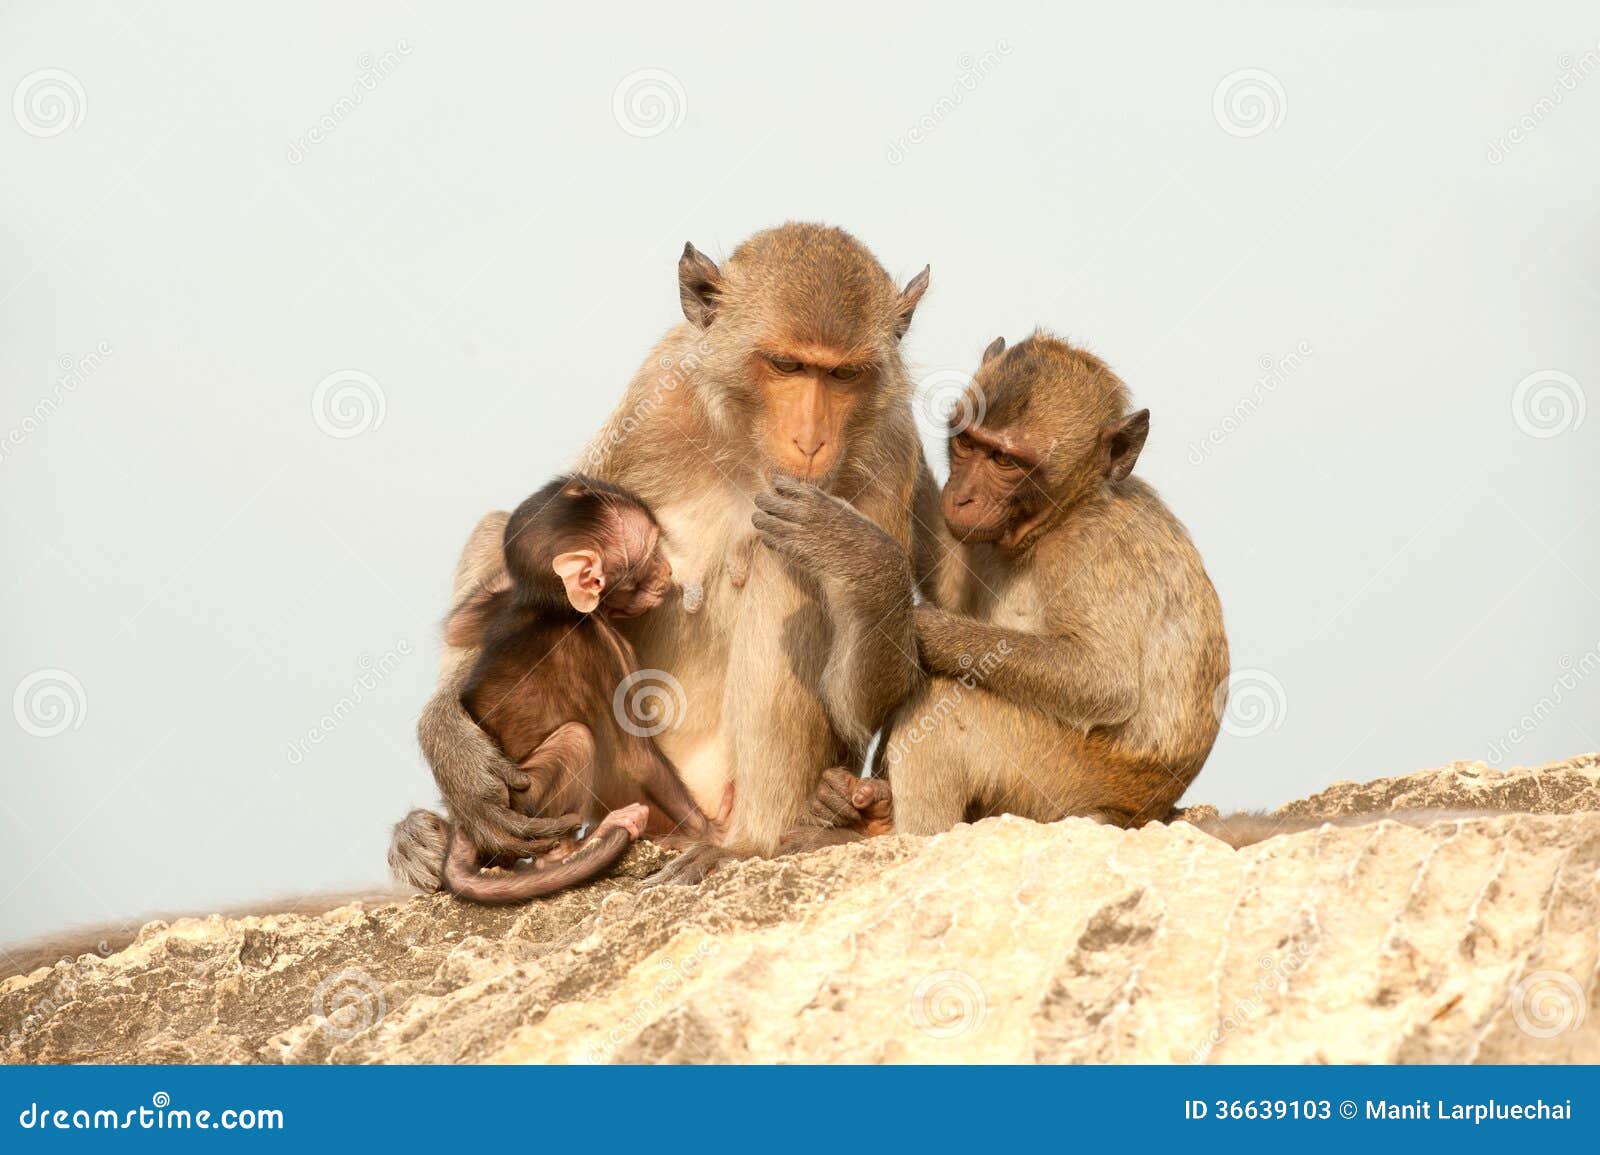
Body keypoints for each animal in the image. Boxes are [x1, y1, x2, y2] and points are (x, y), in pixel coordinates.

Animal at [391, 474, 714, 903]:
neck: (559, 605)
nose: (667, 570)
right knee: (577, 739)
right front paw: (714, 837)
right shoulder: (600, 642)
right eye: (648, 554)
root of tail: (467, 831)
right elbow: (636, 759)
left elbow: (461, 626)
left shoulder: (505, 604)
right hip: (527, 802)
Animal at [758, 330, 1231, 838]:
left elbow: (1104, 679)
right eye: (967, 443)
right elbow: (950, 576)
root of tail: (1141, 814)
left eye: (1005, 460)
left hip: (1074, 780)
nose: (963, 496)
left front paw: (889, 593)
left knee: (949, 708)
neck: (1064, 514)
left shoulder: (1092, 546)